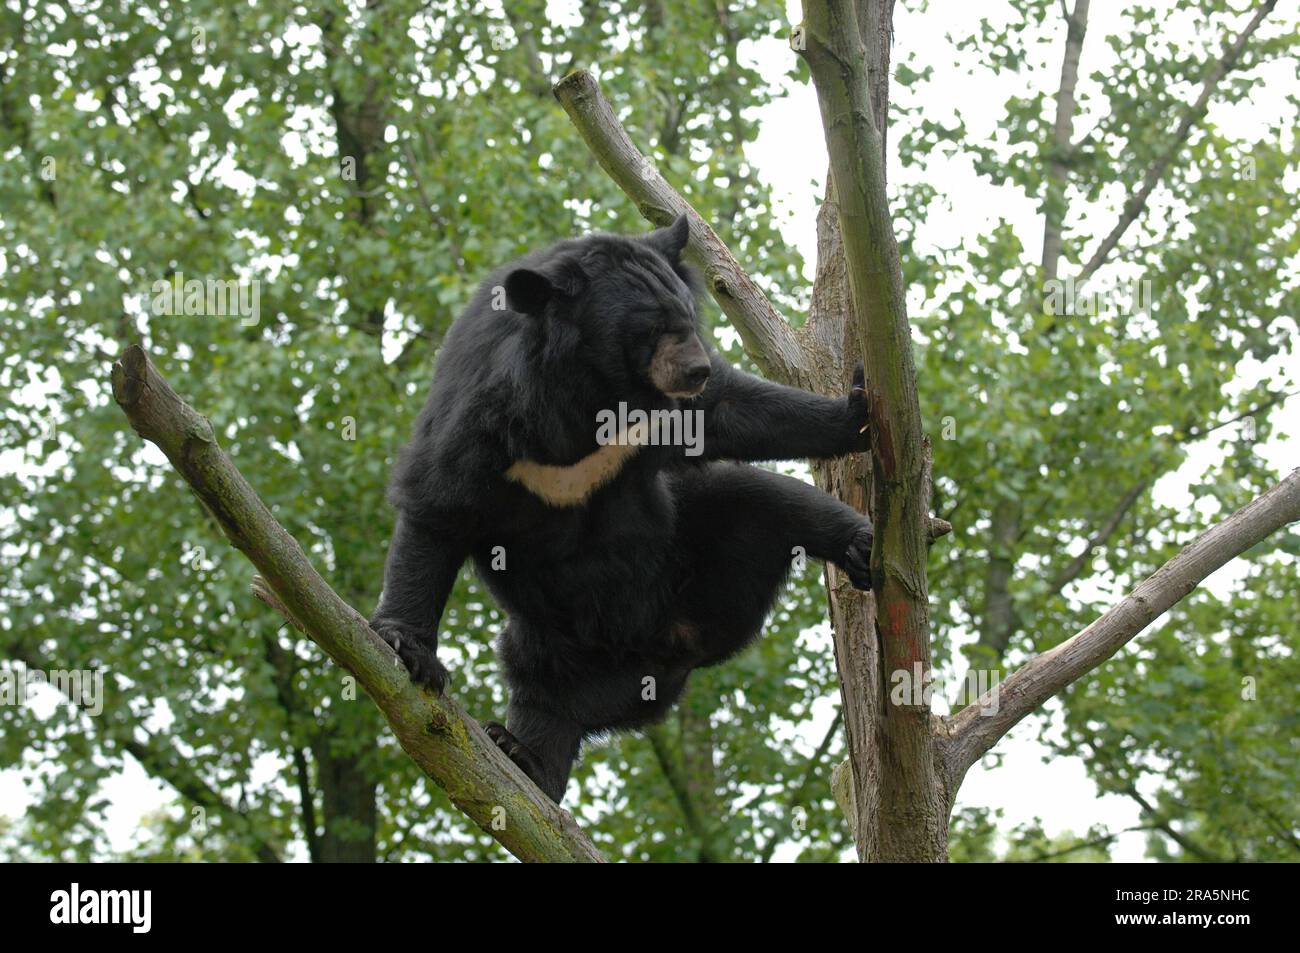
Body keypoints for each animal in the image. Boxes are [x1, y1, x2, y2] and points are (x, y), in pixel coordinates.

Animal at [370, 215, 874, 803]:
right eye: (650, 328)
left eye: (687, 318)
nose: (697, 370)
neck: (594, 392)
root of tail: (675, 646)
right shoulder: (488, 409)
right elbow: (440, 503)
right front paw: (408, 649)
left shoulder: (660, 419)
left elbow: (733, 408)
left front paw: (856, 409)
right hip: (557, 635)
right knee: (548, 691)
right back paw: (524, 758)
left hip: (710, 554)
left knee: (771, 500)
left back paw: (861, 545)